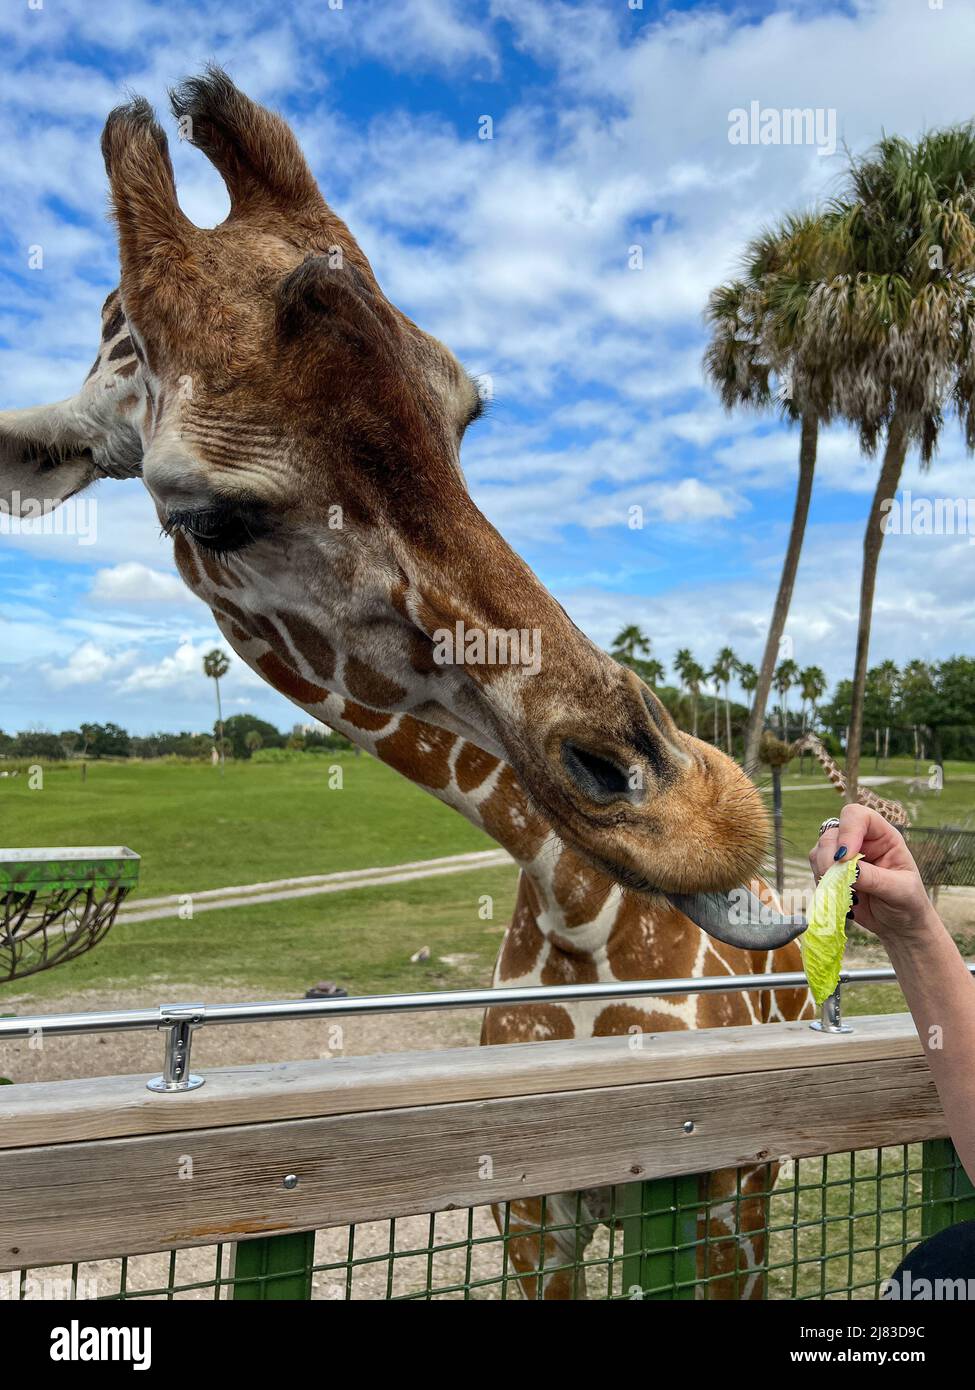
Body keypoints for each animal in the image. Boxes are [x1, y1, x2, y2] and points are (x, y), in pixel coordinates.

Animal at [0, 71, 813, 1299]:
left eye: (464, 415)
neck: (580, 922)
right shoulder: (531, 1206)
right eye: (208, 515)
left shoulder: (717, 1188)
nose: (703, 818)